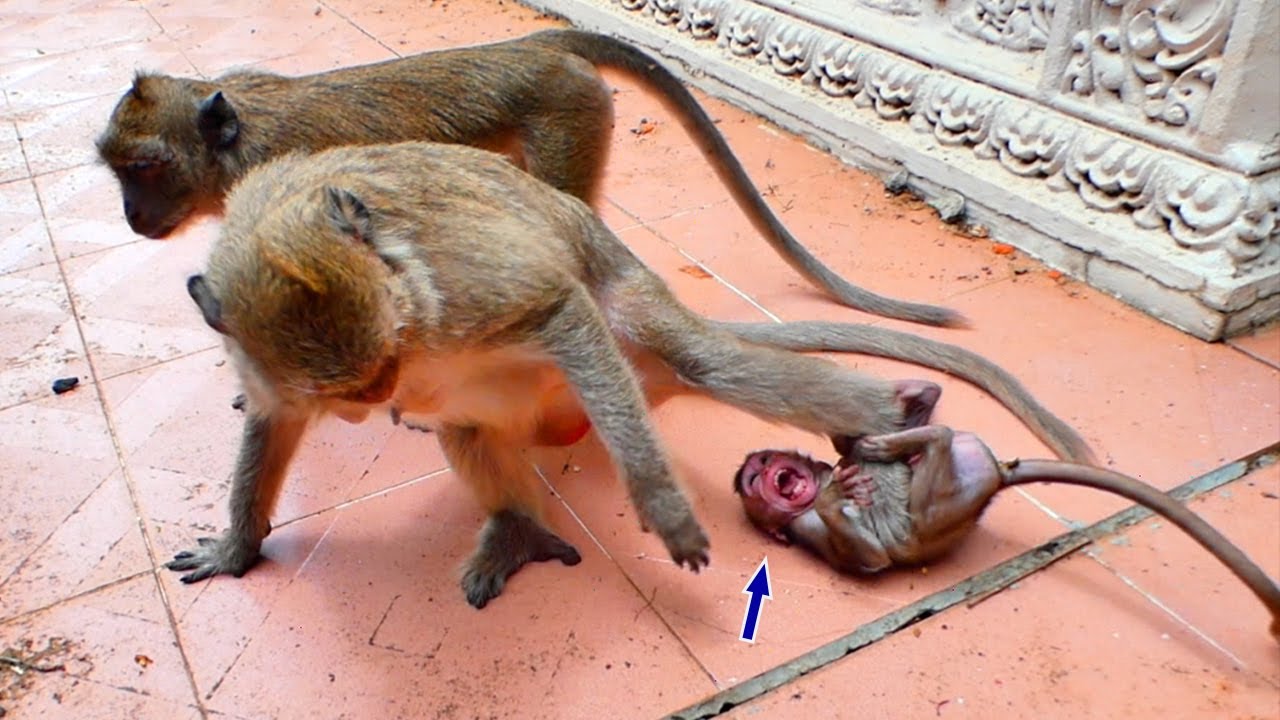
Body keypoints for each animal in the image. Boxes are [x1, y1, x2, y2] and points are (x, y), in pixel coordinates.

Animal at [94, 28, 961, 327]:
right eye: (119, 173)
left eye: (144, 170)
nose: (133, 215)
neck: (234, 140)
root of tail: (539, 46)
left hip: (569, 120)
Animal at [167, 141, 1091, 609]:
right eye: (352, 392)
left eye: (388, 360)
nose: (382, 403)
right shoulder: (268, 364)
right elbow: (274, 422)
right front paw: (239, 544)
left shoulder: (462, 286)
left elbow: (554, 306)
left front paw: (661, 506)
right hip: (530, 406)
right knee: (468, 429)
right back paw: (517, 529)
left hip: (629, 338)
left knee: (701, 359)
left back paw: (906, 404)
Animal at [734, 427, 1280, 640]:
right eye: (752, 480)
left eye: (765, 464)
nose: (761, 471)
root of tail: (996, 475)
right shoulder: (805, 528)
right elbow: (872, 560)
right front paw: (832, 500)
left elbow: (840, 457)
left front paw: (845, 447)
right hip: (940, 505)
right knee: (936, 463)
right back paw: (917, 442)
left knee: (927, 444)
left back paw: (890, 443)